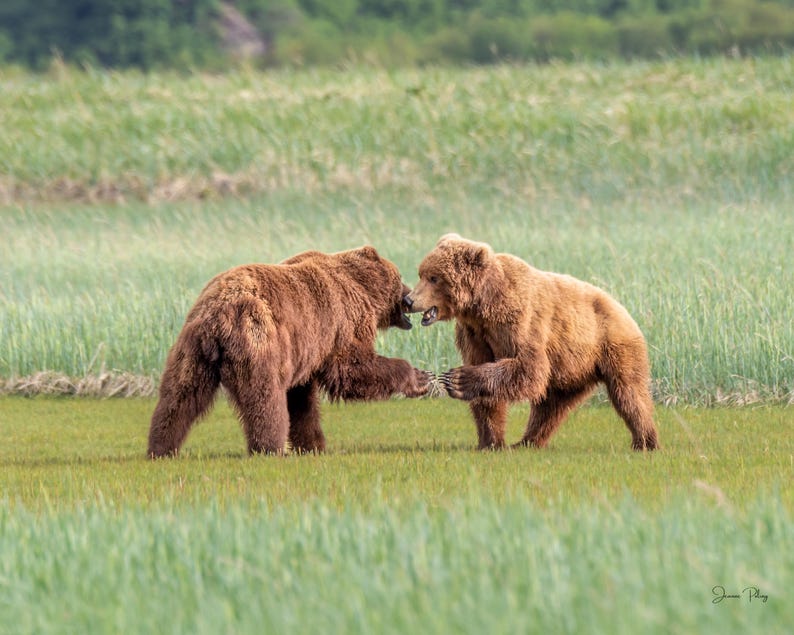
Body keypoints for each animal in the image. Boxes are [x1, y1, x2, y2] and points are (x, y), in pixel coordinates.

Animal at [148, 245, 432, 458]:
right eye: (400, 278)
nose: (408, 298)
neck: (362, 289)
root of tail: (218, 313)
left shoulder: (305, 353)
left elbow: (302, 398)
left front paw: (313, 445)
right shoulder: (341, 321)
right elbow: (351, 368)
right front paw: (419, 378)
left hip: (192, 351)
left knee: (179, 396)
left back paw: (160, 447)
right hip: (258, 340)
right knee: (264, 398)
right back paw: (270, 447)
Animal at [403, 234, 659, 451]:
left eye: (434, 277)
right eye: (421, 273)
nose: (408, 300)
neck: (482, 305)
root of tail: (623, 307)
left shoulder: (518, 320)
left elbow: (528, 366)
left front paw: (457, 379)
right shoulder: (475, 333)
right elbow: (487, 388)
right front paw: (490, 441)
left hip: (613, 346)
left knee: (628, 393)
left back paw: (645, 442)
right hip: (570, 367)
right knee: (552, 405)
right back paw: (527, 441)